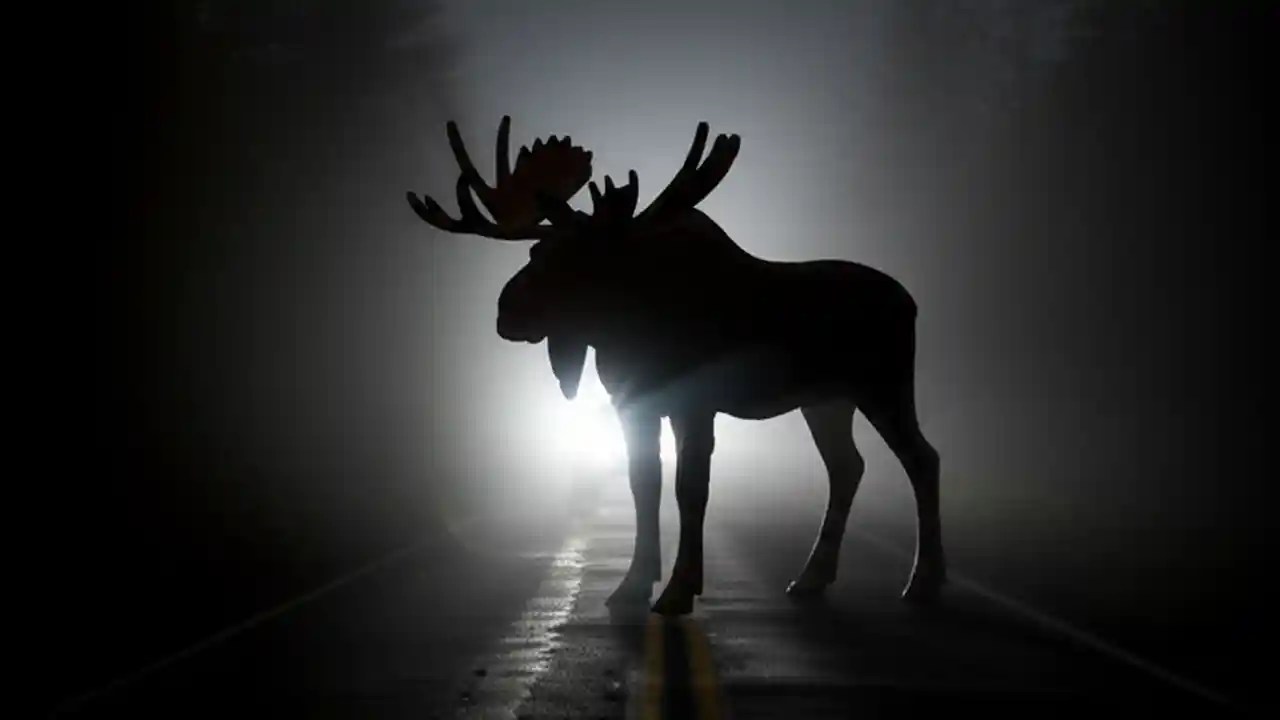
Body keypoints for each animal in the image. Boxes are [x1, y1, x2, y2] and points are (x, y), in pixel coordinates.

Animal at [407, 116, 945, 616]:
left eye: (577, 257)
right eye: (538, 249)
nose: (507, 311)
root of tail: (912, 302)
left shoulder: (695, 403)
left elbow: (691, 489)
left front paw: (679, 588)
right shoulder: (633, 405)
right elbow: (644, 484)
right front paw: (632, 584)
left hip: (882, 385)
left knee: (922, 458)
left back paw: (923, 582)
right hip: (825, 399)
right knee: (847, 467)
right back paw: (812, 576)